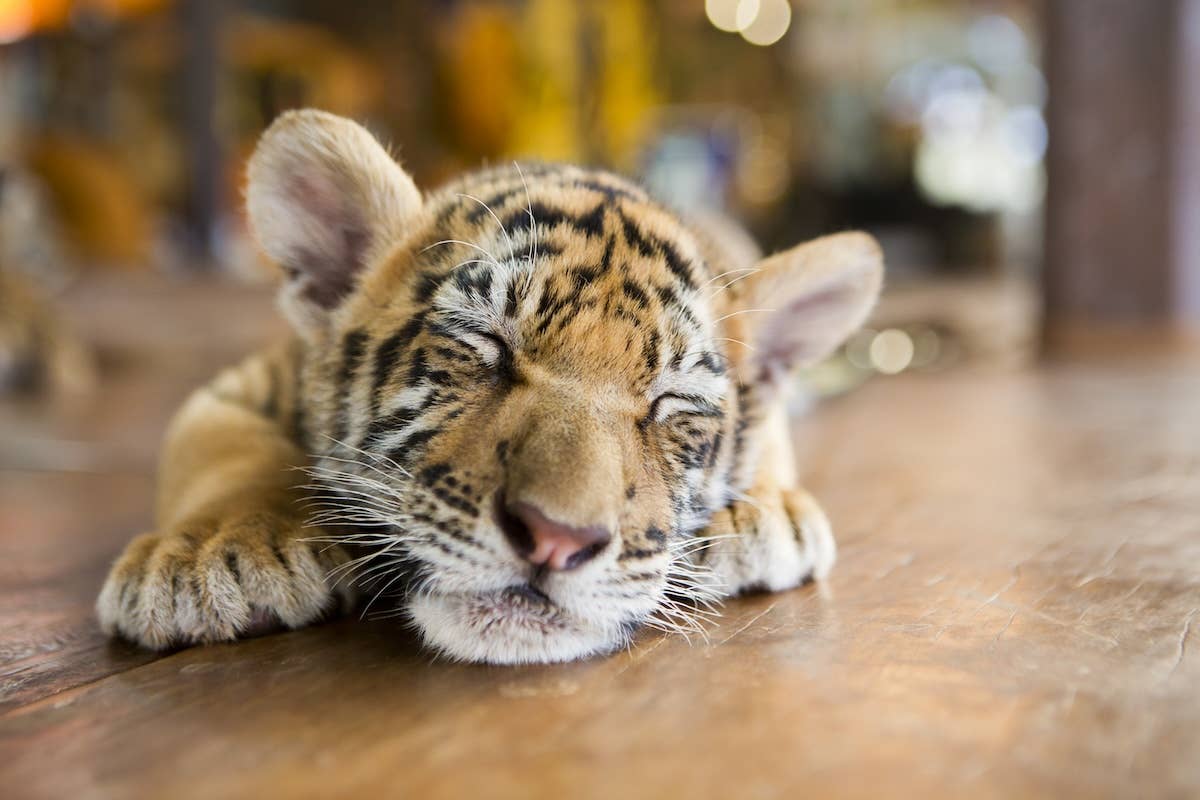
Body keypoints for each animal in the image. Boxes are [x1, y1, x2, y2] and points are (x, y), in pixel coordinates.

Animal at [96, 109, 883, 664]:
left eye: (669, 404)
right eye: (486, 346)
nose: (557, 541)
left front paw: (764, 513)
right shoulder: (236, 386)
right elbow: (223, 449)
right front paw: (210, 555)